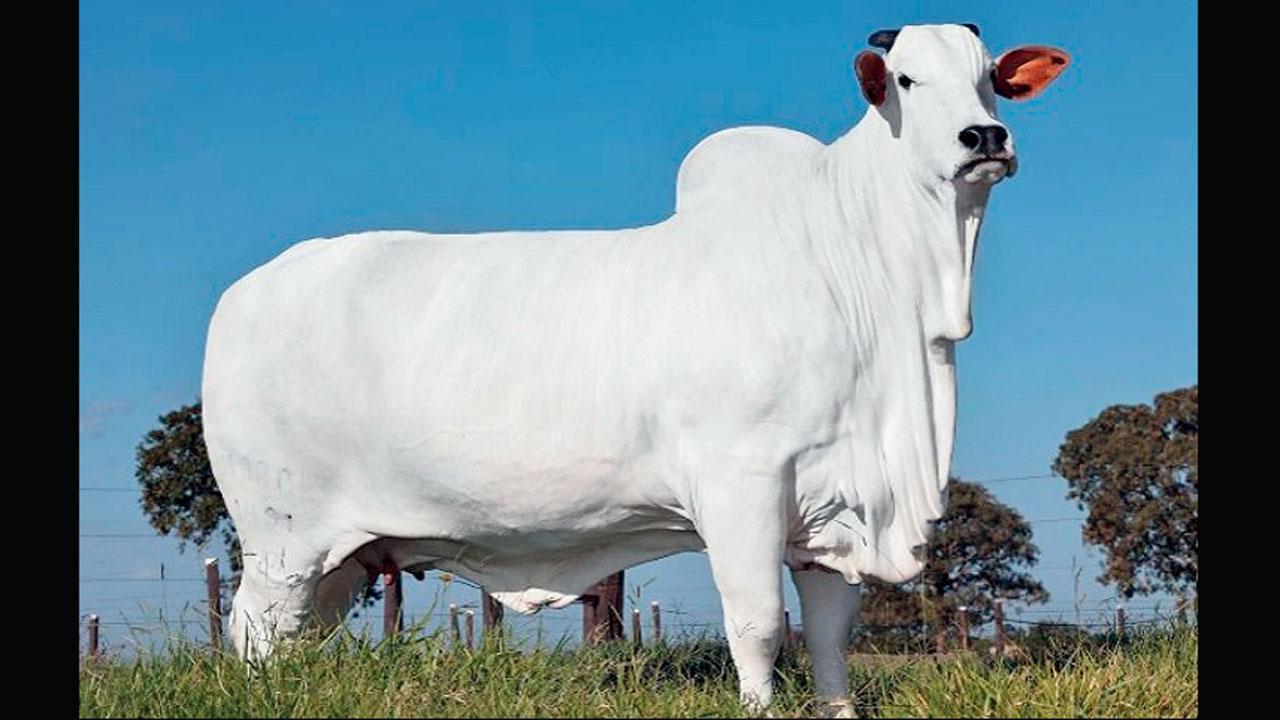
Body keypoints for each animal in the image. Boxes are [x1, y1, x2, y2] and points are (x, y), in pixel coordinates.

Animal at [202, 23, 1068, 715]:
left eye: (990, 77)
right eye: (907, 80)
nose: (983, 138)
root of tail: (245, 291)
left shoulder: (834, 509)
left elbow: (827, 639)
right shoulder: (742, 486)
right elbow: (759, 625)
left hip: (344, 555)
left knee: (296, 640)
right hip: (282, 540)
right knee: (255, 634)